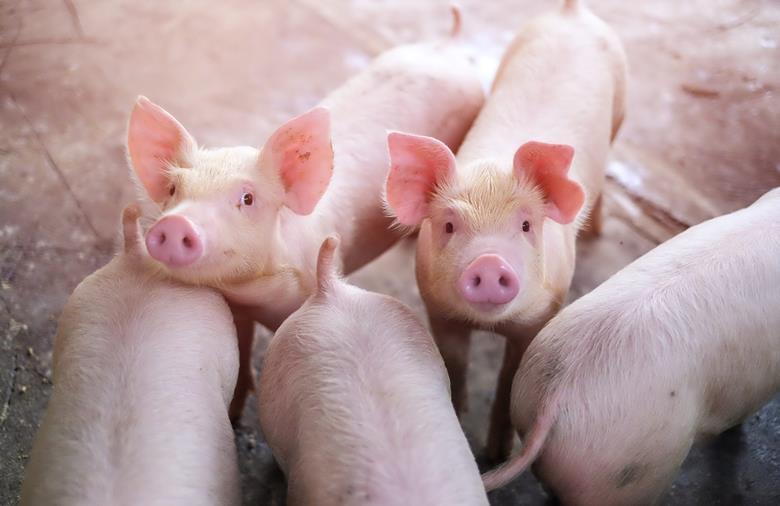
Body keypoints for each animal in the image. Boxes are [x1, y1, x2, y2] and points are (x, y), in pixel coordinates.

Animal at [126, 7, 484, 420]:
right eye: (173, 190)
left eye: (248, 198)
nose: (175, 223)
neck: (259, 294)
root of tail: (449, 42)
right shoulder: (238, 306)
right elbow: (241, 349)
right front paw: (234, 414)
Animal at [383, 0, 627, 461]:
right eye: (449, 224)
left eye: (527, 224)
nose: (490, 262)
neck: (489, 325)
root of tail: (570, 12)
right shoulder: (439, 310)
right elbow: (455, 366)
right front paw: (460, 420)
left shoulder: (542, 312)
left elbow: (508, 379)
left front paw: (495, 454)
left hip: (622, 105)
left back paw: (597, 232)